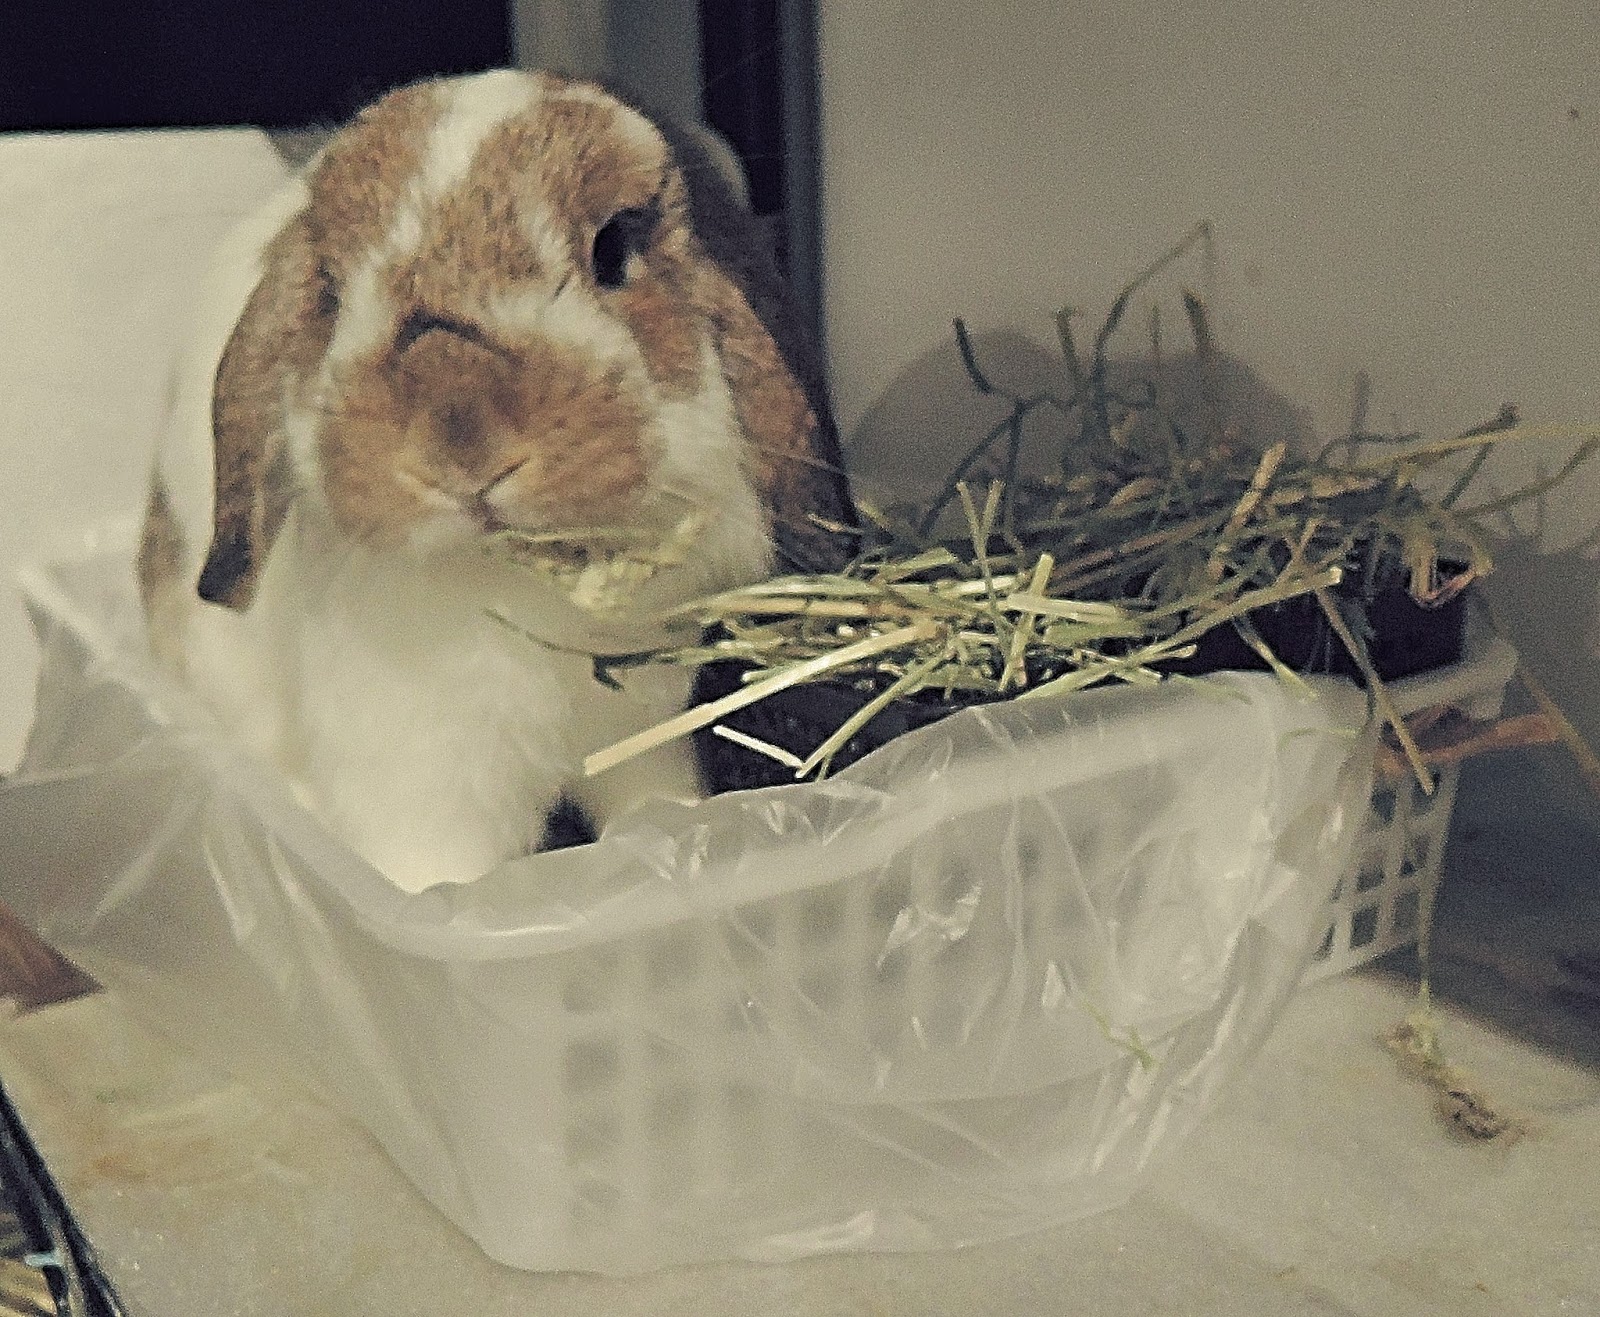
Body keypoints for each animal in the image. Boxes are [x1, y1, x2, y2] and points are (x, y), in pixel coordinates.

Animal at [136, 68, 856, 892]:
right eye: (330, 291)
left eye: (614, 249)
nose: (460, 444)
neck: (521, 588)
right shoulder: (426, 782)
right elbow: (432, 873)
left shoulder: (639, 733)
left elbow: (650, 799)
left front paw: (671, 838)